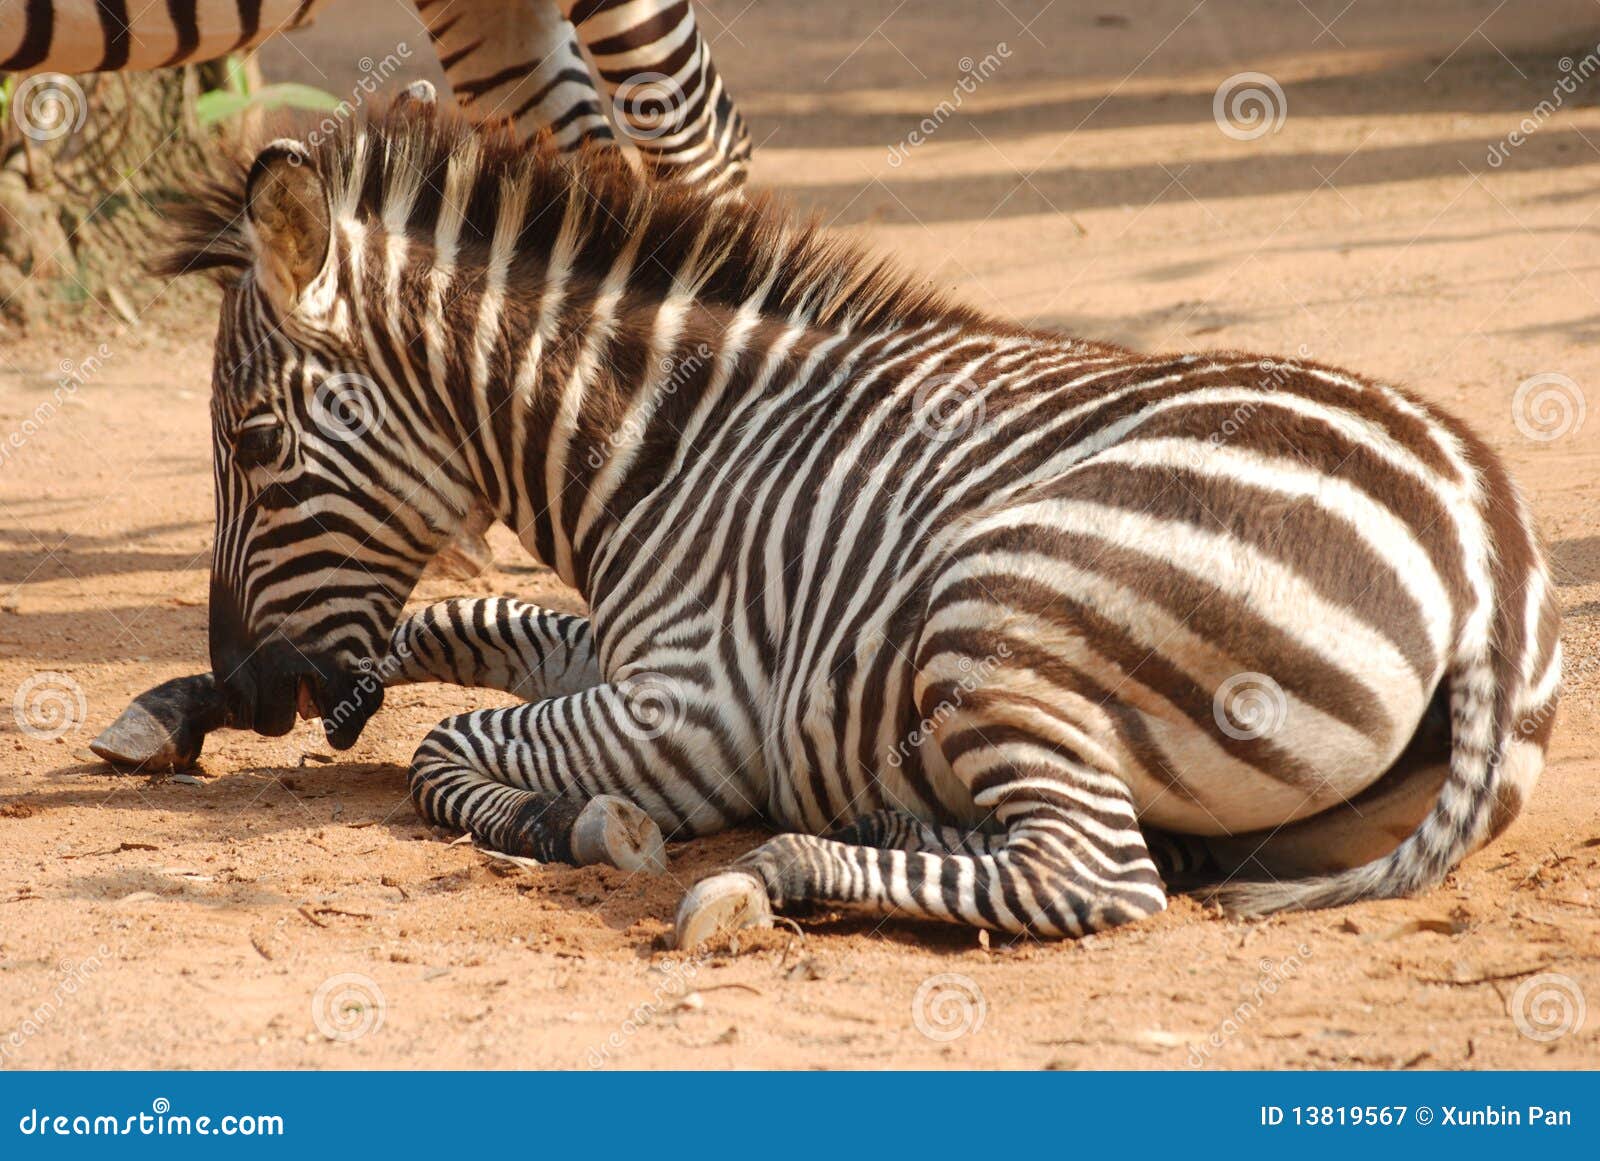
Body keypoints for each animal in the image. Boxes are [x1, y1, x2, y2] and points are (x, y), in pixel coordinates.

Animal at [158, 95, 1560, 945]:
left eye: (254, 444)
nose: (258, 686)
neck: (670, 450)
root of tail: (1483, 539)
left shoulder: (693, 713)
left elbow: (447, 748)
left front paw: (578, 823)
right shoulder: (620, 647)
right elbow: (460, 623)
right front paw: (178, 705)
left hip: (1001, 602)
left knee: (1098, 874)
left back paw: (770, 874)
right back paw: (887, 821)